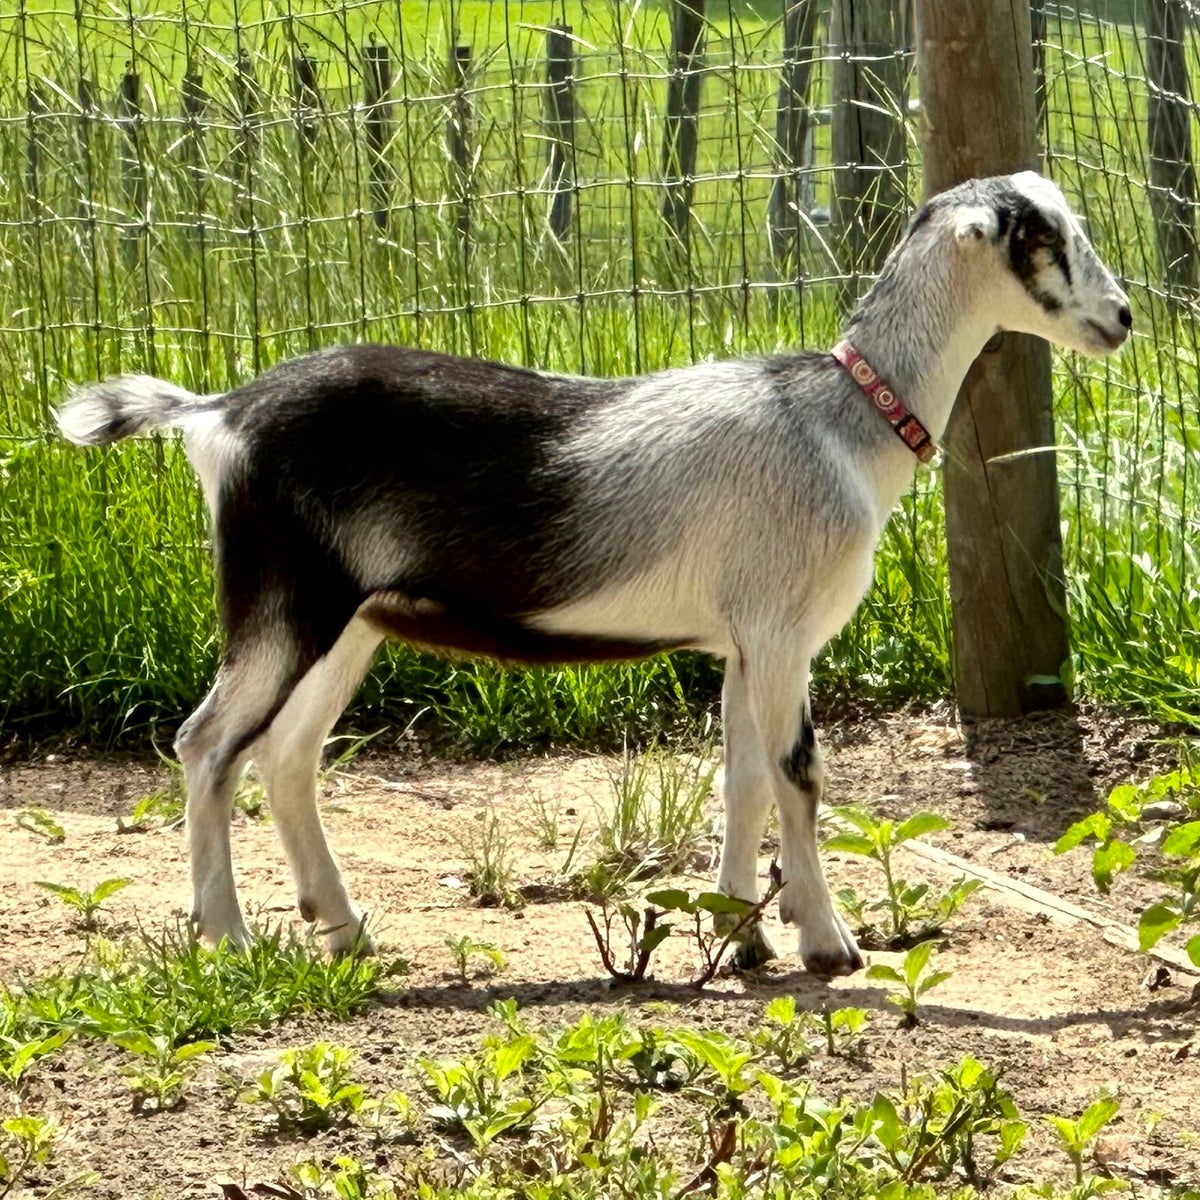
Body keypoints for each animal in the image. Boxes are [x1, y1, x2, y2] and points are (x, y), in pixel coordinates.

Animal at [57, 172, 1130, 976]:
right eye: (1048, 239)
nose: (1120, 317)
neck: (844, 419)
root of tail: (219, 412)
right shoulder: (782, 631)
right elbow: (798, 773)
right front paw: (828, 945)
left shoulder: (743, 641)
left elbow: (742, 778)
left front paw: (741, 936)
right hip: (282, 606)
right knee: (208, 746)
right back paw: (229, 937)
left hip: (348, 622)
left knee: (286, 756)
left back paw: (344, 926)